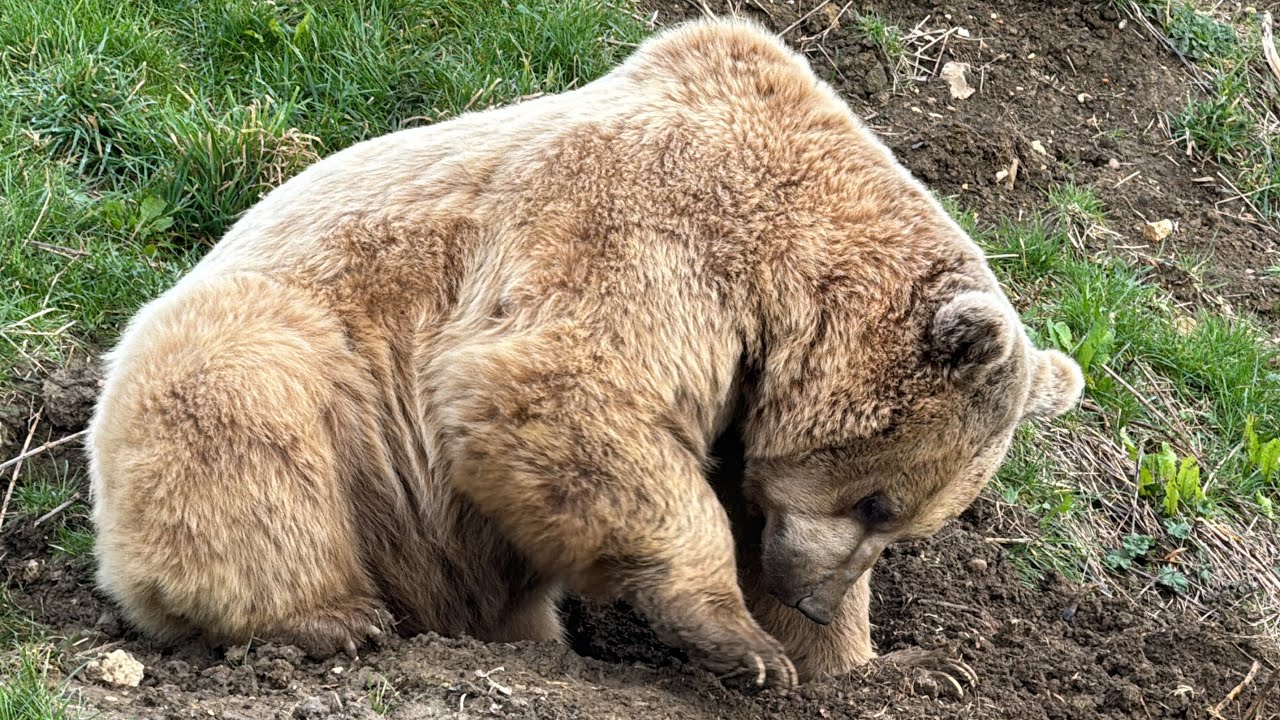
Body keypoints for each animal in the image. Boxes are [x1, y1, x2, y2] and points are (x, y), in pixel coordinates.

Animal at [87, 16, 1083, 689]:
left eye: (905, 523)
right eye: (879, 500)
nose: (812, 595)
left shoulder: (746, 388)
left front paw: (877, 661)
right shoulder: (647, 230)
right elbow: (559, 390)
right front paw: (745, 642)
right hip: (283, 360)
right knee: (239, 414)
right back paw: (333, 620)